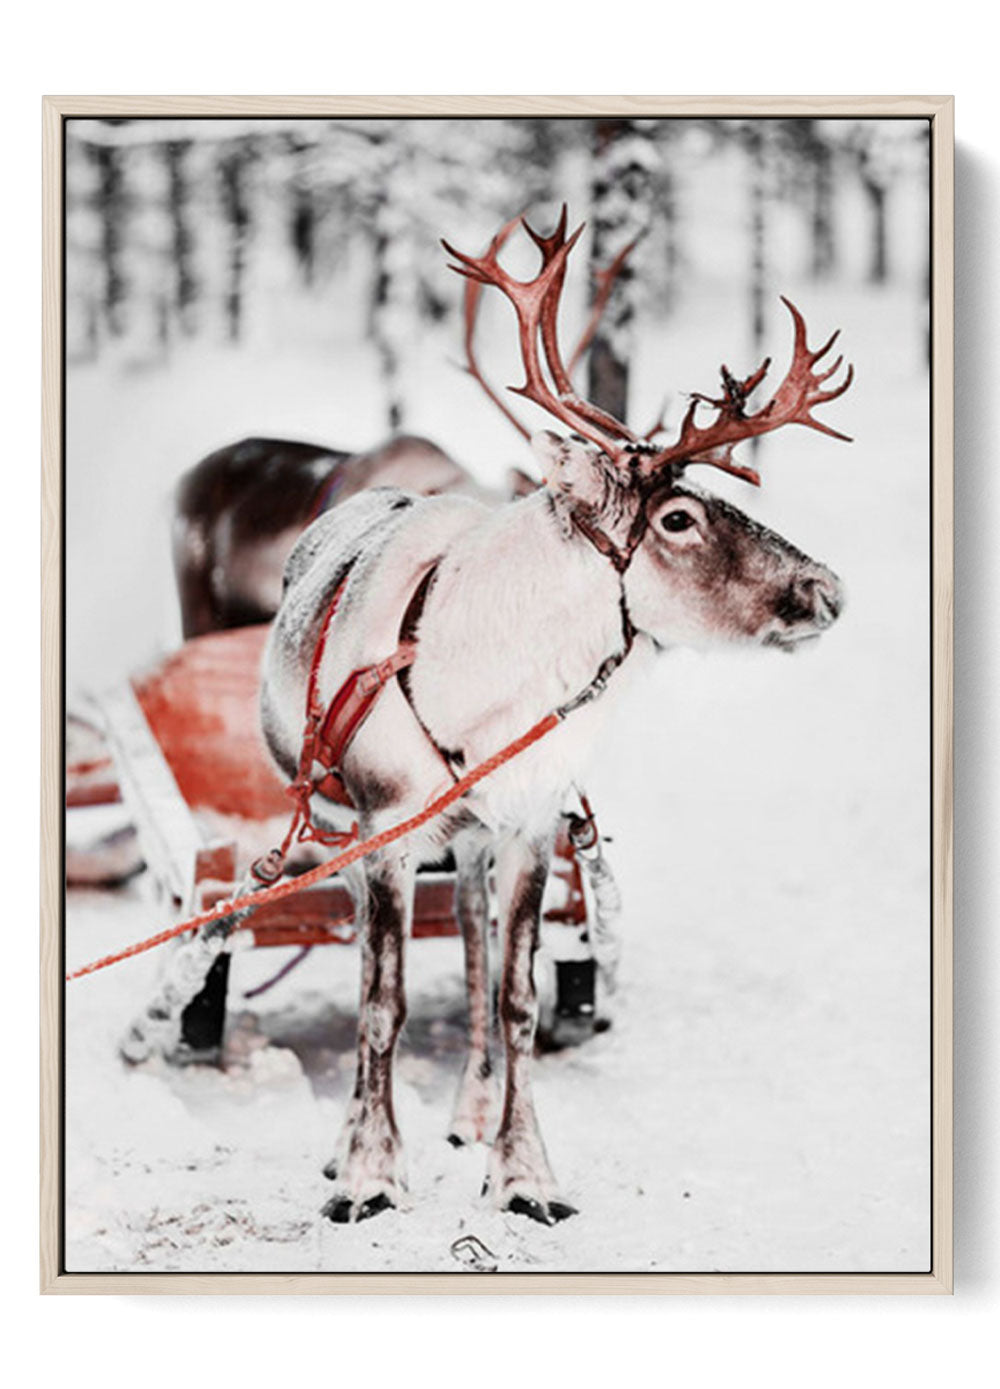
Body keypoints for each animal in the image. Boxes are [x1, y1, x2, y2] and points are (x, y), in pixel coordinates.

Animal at [253, 206, 853, 1225]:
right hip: (340, 819)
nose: (828, 589)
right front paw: (369, 1171)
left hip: (472, 837)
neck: (488, 684)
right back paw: (347, 1144)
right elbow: (382, 1000)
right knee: (384, 955)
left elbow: (517, 998)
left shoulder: (532, 821)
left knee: (472, 937)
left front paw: (524, 1172)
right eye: (679, 517)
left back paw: (468, 1110)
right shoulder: (384, 826)